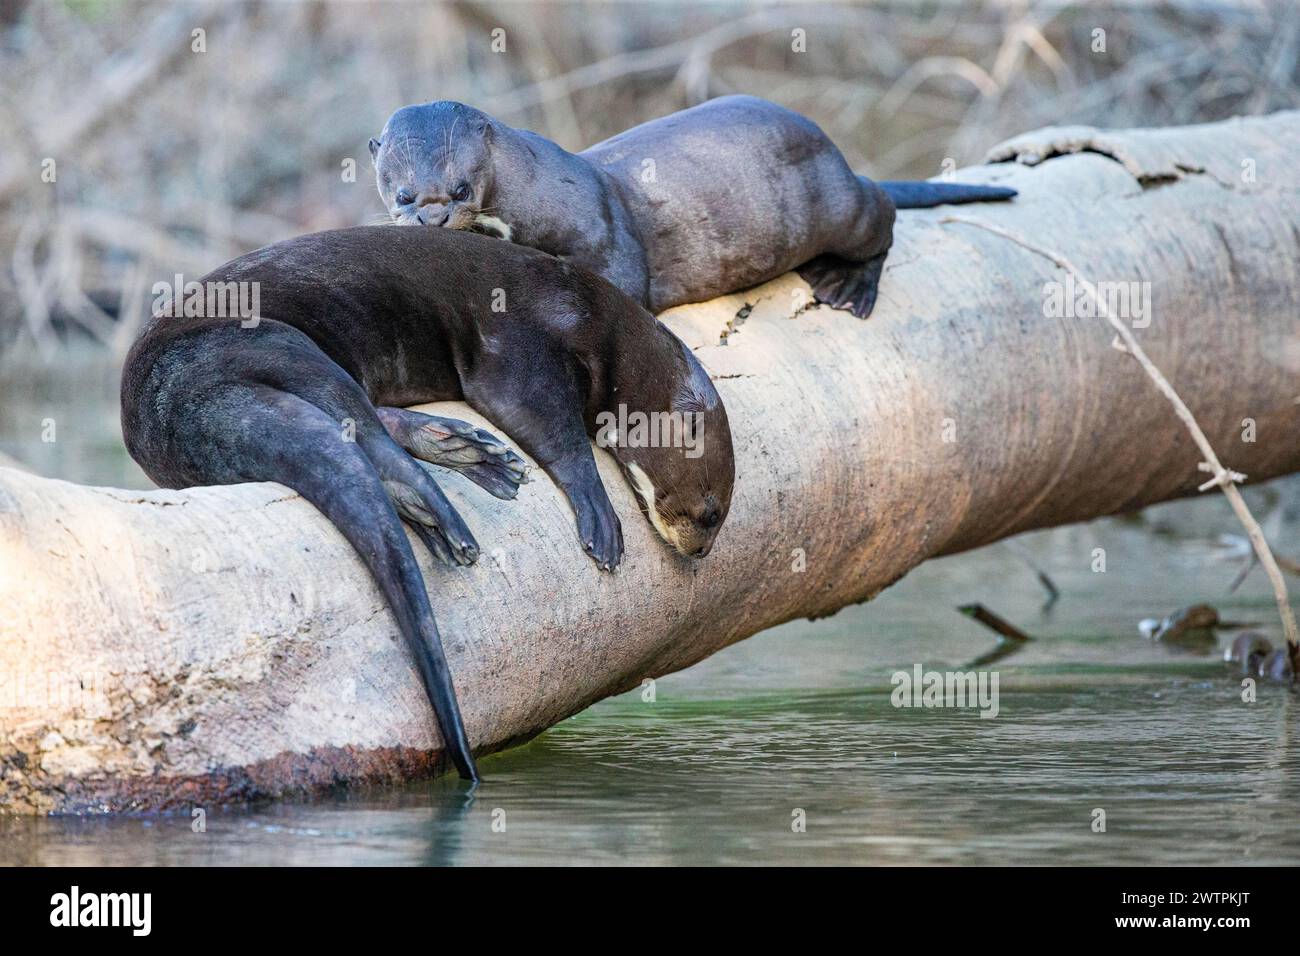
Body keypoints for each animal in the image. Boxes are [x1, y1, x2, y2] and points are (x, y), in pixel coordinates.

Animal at [121, 226, 735, 782]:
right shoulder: (521, 343)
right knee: (360, 426)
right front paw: (600, 519)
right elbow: (548, 425)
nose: (702, 551)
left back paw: (463, 449)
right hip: (271, 342)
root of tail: (159, 407)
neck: (599, 324)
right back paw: (439, 507)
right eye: (711, 511)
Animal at [369, 94, 1015, 319]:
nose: (431, 216)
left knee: (880, 212)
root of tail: (835, 150)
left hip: (840, 202)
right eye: (402, 193)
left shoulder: (605, 230)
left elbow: (620, 289)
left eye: (460, 188)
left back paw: (849, 286)